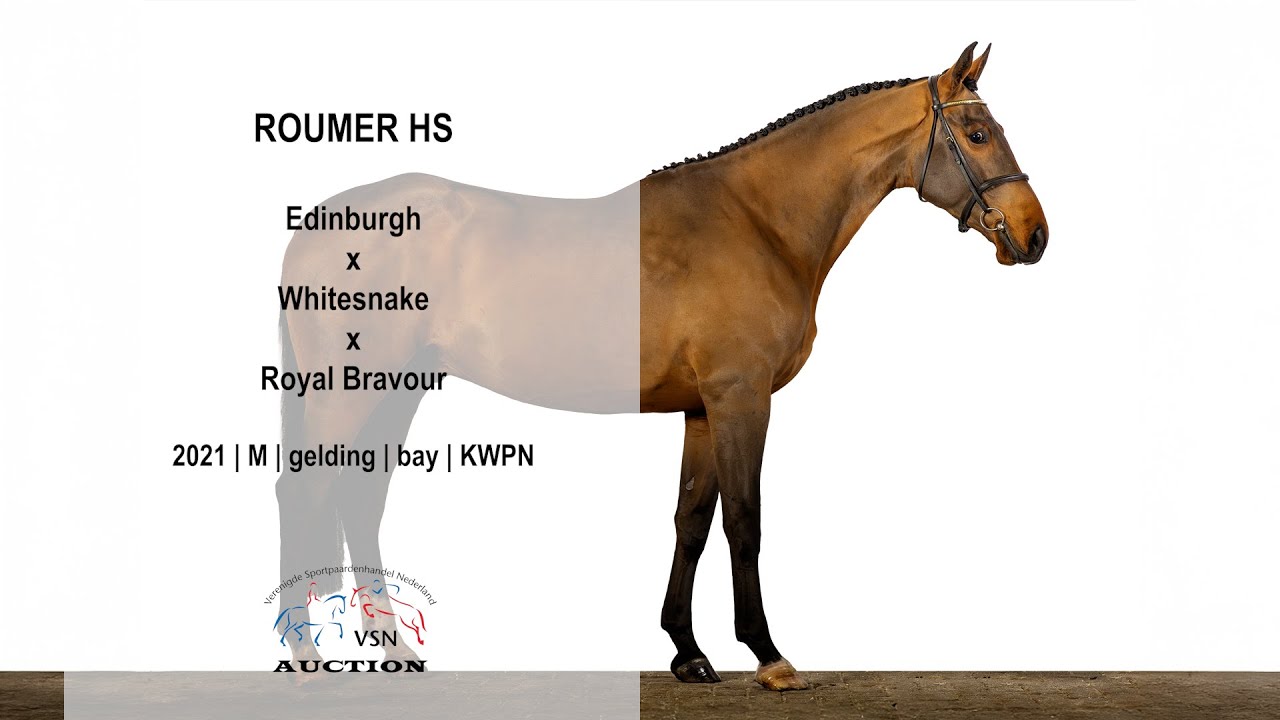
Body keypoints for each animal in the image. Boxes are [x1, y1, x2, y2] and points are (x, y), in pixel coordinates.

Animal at [273, 41, 1048, 691]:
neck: (759, 220)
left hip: (394, 392)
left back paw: (392, 650)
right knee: (306, 493)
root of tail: (320, 223)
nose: (1034, 233)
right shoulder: (741, 399)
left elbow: (692, 520)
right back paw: (308, 655)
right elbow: (744, 520)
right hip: (350, 396)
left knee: (357, 501)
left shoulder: (701, 409)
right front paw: (768, 656)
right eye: (978, 134)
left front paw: (689, 653)